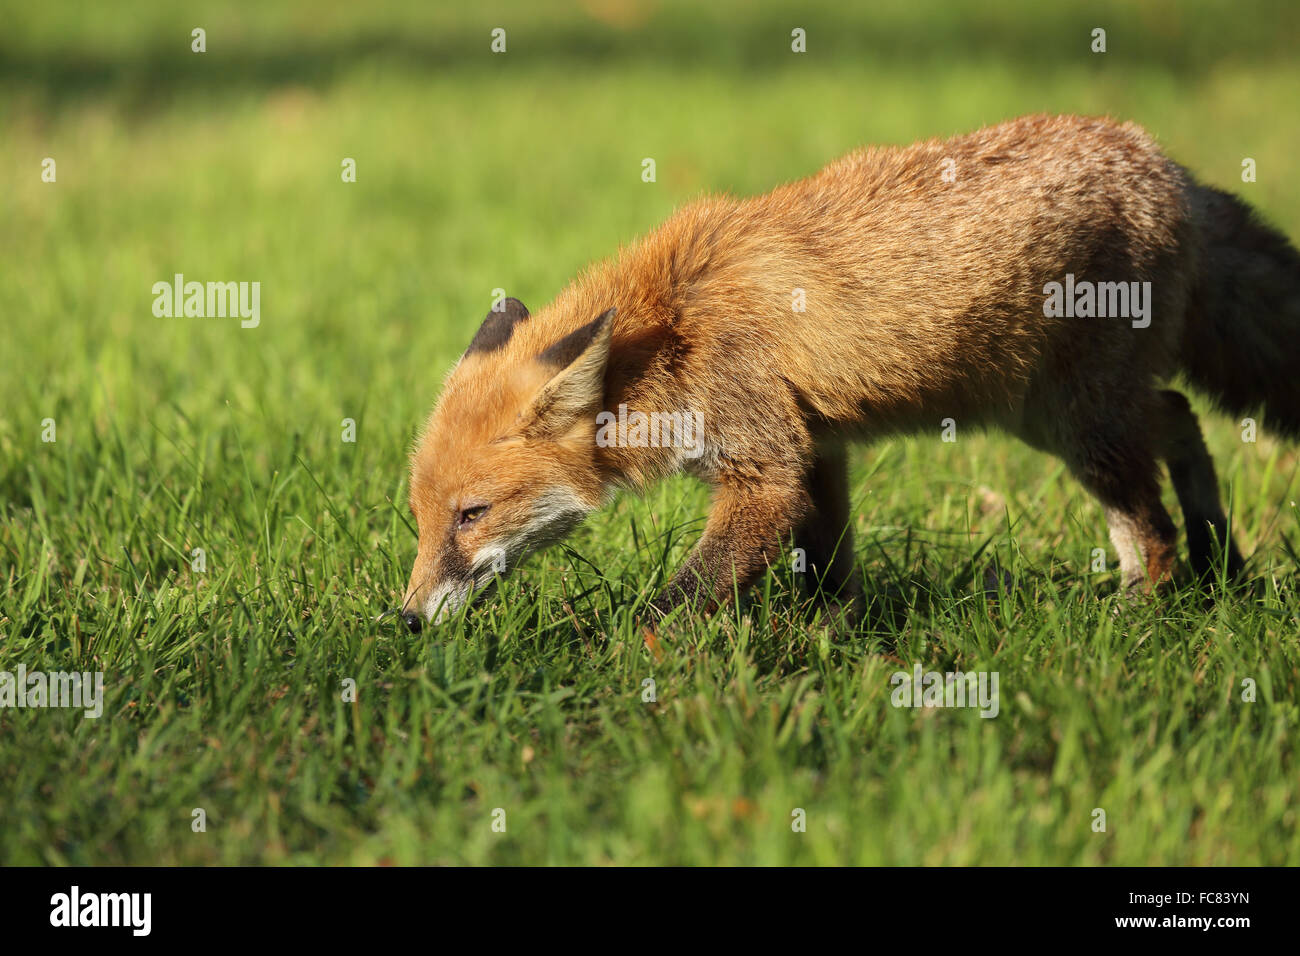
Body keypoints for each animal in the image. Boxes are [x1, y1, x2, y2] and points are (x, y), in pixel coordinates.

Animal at [400, 113, 1300, 633]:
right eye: (420, 518)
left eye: (472, 515)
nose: (405, 622)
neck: (671, 332)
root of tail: (1165, 164)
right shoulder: (816, 451)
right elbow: (827, 570)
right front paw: (834, 641)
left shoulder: (765, 468)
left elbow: (673, 603)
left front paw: (614, 652)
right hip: (1056, 412)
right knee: (1179, 415)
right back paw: (1222, 557)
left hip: (1077, 421)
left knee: (1150, 526)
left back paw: (1144, 611)